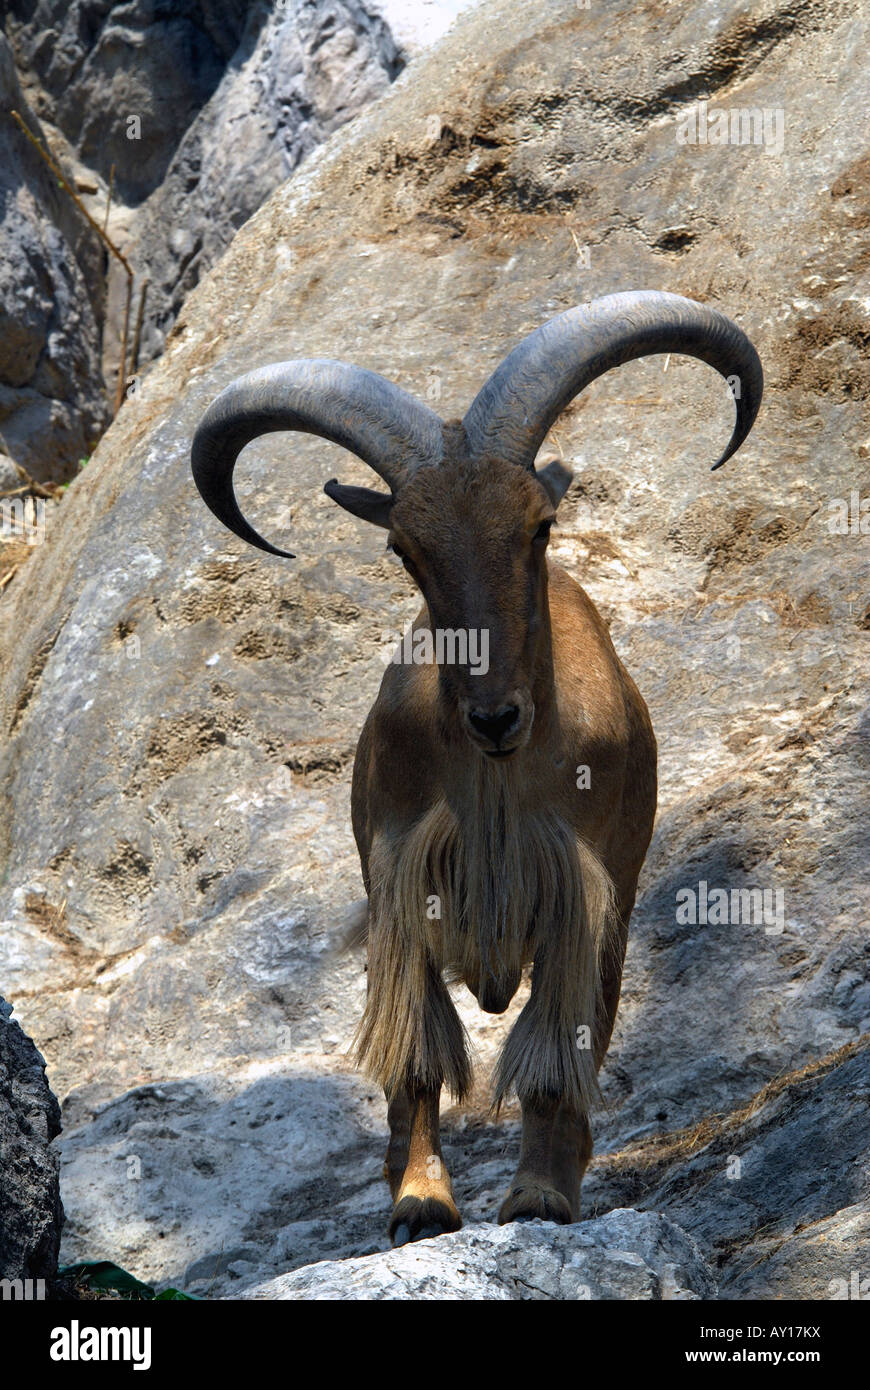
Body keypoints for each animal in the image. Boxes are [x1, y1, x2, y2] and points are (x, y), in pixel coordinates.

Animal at [191, 290, 763, 1244]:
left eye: (539, 526)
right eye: (406, 551)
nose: (496, 716)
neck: (499, 781)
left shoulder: (589, 893)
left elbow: (558, 1052)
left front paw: (539, 1196)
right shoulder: (400, 880)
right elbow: (417, 1055)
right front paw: (421, 1204)